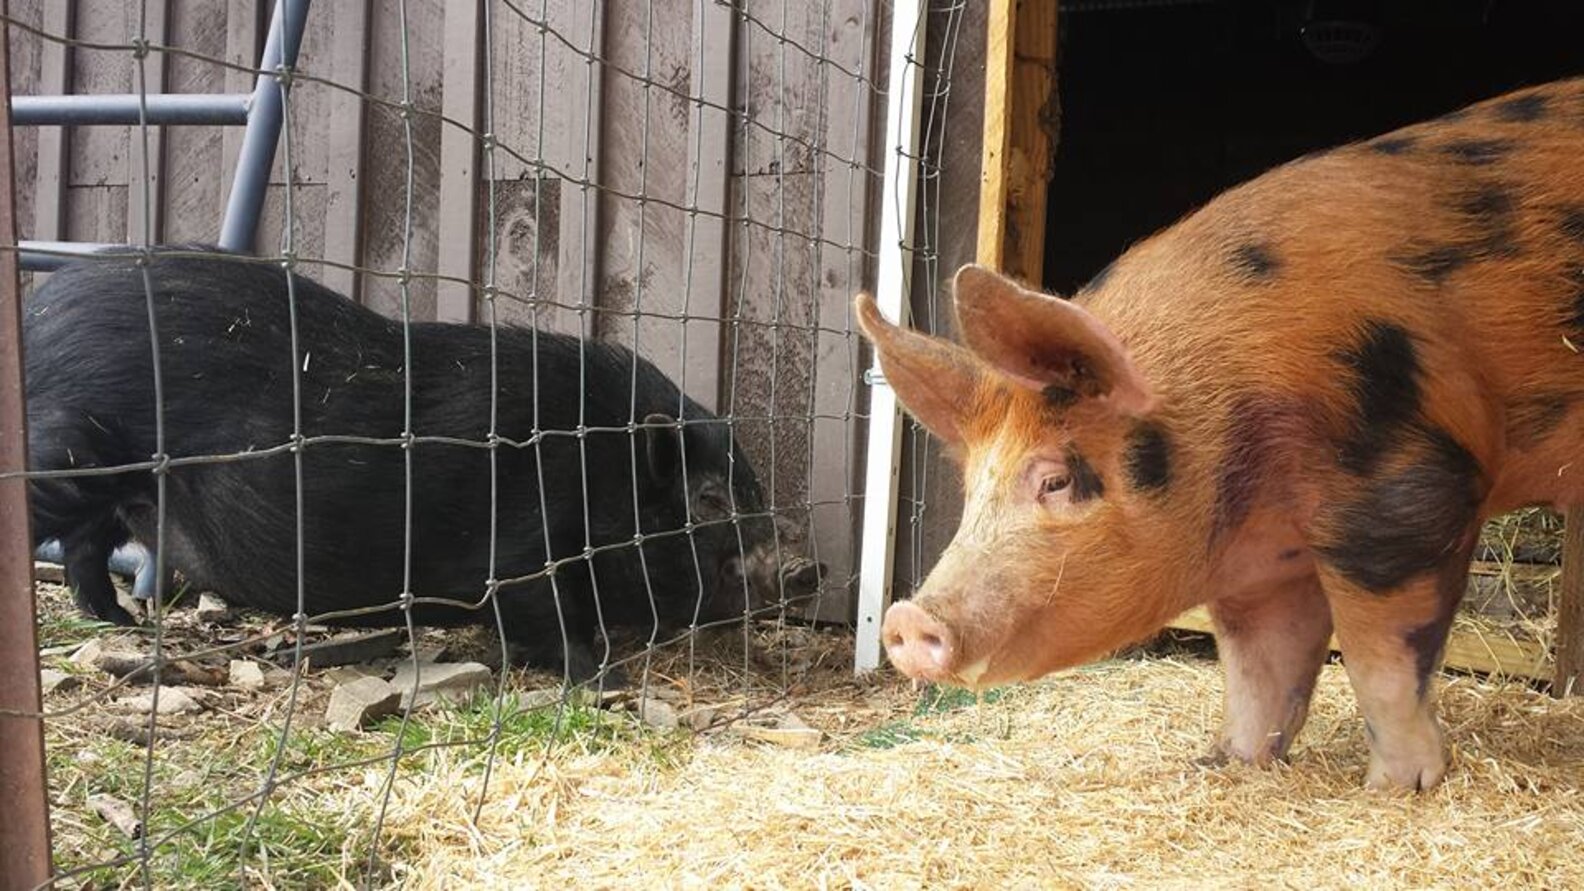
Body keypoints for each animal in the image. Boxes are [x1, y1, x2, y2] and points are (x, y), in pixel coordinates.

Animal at [24, 247, 821, 683]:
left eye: (753, 486)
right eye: (710, 498)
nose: (806, 566)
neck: (602, 472)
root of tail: (38, 314)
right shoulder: (522, 548)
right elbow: (546, 616)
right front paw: (607, 678)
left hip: (114, 481)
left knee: (87, 545)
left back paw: (119, 621)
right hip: (72, 446)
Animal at [858, 78, 1584, 790]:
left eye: (1056, 478)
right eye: (970, 490)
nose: (907, 618)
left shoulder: (1408, 493)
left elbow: (1380, 659)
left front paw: (1394, 789)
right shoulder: (1263, 566)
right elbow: (1261, 665)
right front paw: (1222, 761)